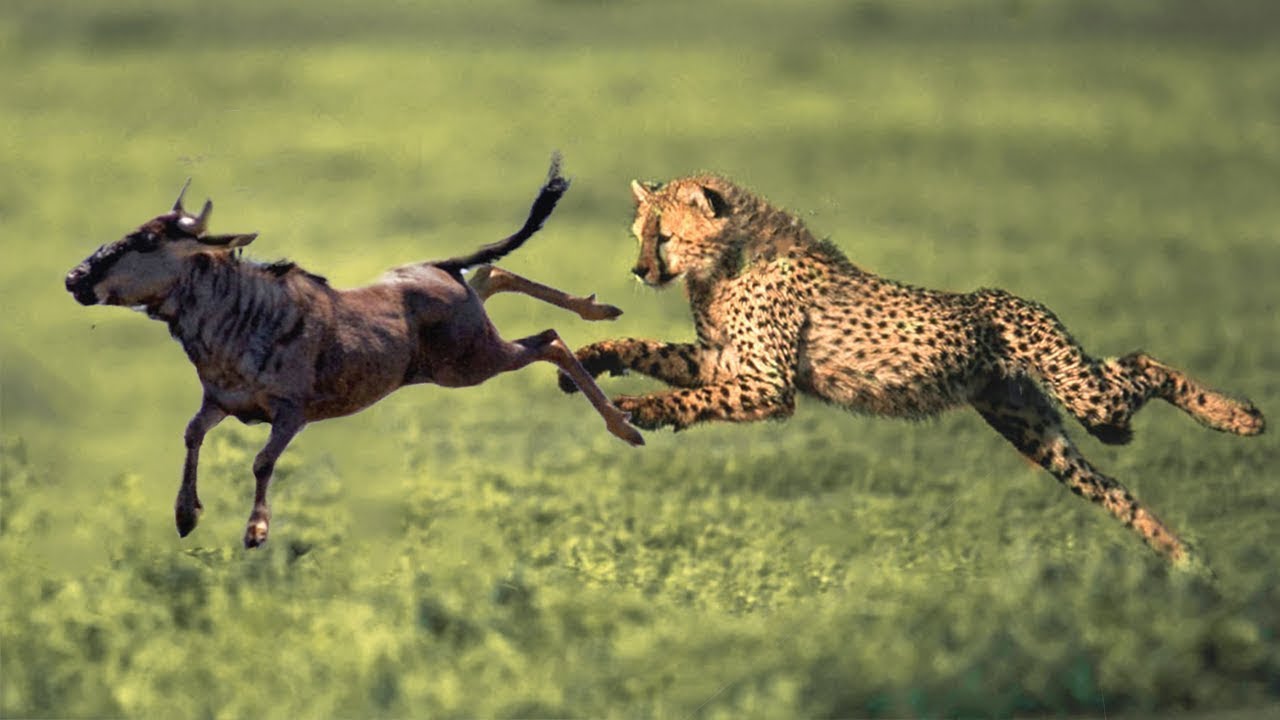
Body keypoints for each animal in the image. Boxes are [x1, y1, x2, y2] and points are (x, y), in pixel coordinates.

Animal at [559, 173, 1266, 566]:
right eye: (638, 236)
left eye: (665, 238)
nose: (639, 270)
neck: (726, 261)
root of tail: (1009, 298)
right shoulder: (720, 359)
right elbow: (647, 348)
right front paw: (589, 359)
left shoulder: (767, 385)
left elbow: (692, 400)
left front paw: (644, 409)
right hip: (1033, 429)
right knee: (1113, 482)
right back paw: (1184, 561)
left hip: (1083, 392)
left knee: (1138, 367)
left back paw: (1240, 417)